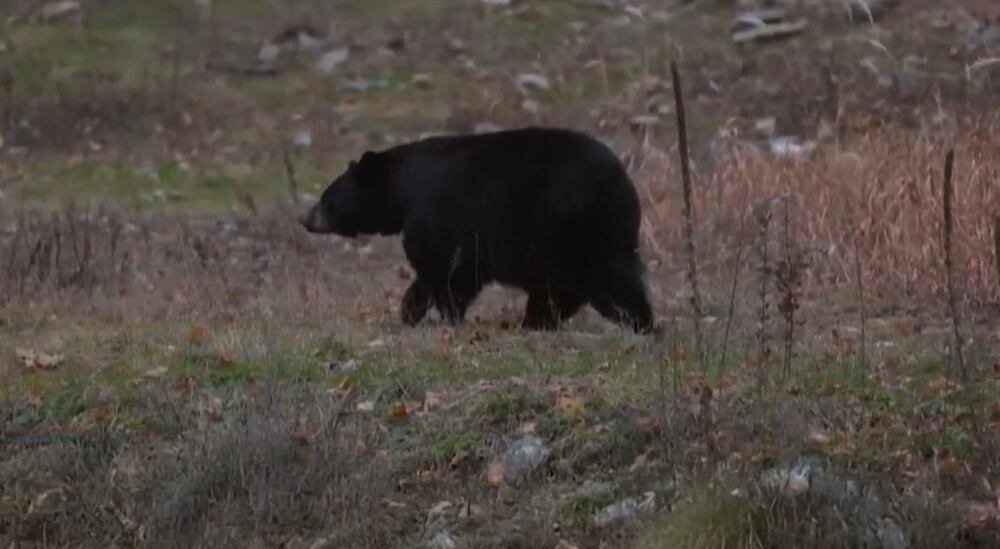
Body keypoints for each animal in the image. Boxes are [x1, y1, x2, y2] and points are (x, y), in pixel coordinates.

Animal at [300, 126, 655, 334]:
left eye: (327, 199)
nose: (305, 219)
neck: (403, 187)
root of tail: (621, 183)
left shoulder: (438, 213)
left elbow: (446, 270)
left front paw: (444, 316)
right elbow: (433, 274)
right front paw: (409, 311)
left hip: (565, 228)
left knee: (588, 282)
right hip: (601, 234)